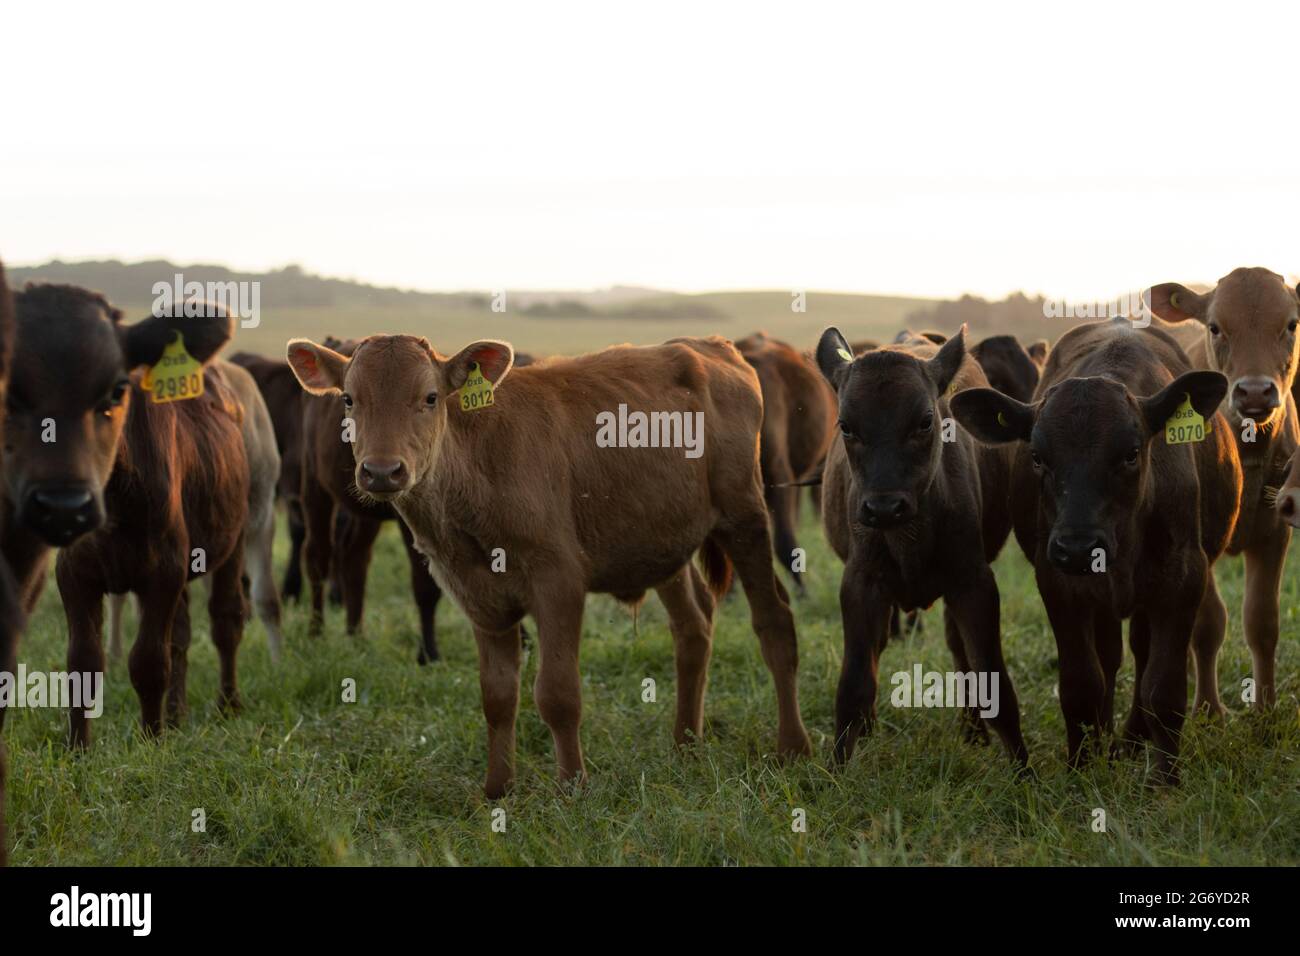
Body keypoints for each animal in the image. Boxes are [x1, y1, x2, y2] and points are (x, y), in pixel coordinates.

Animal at [2, 285, 251, 747]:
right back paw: (176, 715)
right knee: (182, 635)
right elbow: (84, 662)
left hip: (237, 534)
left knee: (226, 619)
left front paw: (152, 741)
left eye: (117, 390)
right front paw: (78, 748)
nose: (65, 504)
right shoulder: (75, 573)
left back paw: (227, 705)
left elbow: (149, 661)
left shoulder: (164, 570)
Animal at [286, 333, 812, 797]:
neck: (480, 464)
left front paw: (572, 786)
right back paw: (685, 743)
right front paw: (497, 789)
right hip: (664, 543)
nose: (381, 471)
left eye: (430, 397)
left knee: (775, 622)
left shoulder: (558, 582)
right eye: (349, 400)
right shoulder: (477, 597)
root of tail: (715, 347)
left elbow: (558, 694)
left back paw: (793, 747)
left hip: (745, 516)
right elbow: (498, 696)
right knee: (693, 629)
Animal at [815, 327, 1027, 766]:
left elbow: (993, 679)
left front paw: (1024, 770)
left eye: (925, 421)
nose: (883, 506)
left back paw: (973, 731)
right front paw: (836, 768)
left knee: (960, 651)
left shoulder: (974, 581)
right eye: (846, 425)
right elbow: (854, 683)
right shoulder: (860, 582)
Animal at [951, 319, 1241, 784]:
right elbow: (1082, 683)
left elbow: (1165, 686)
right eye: (1037, 456)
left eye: (1131, 453)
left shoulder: (1183, 579)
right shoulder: (1060, 584)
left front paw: (1164, 779)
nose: (1078, 547)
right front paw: (1081, 767)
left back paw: (1132, 740)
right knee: (1110, 658)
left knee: (1140, 654)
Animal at [1148, 268, 1299, 712]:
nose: (1255, 391)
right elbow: (1208, 622)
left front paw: (1265, 709)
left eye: (1291, 324)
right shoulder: (1195, 536)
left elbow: (1262, 621)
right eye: (1215, 327)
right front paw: (1209, 709)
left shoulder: (1276, 530)